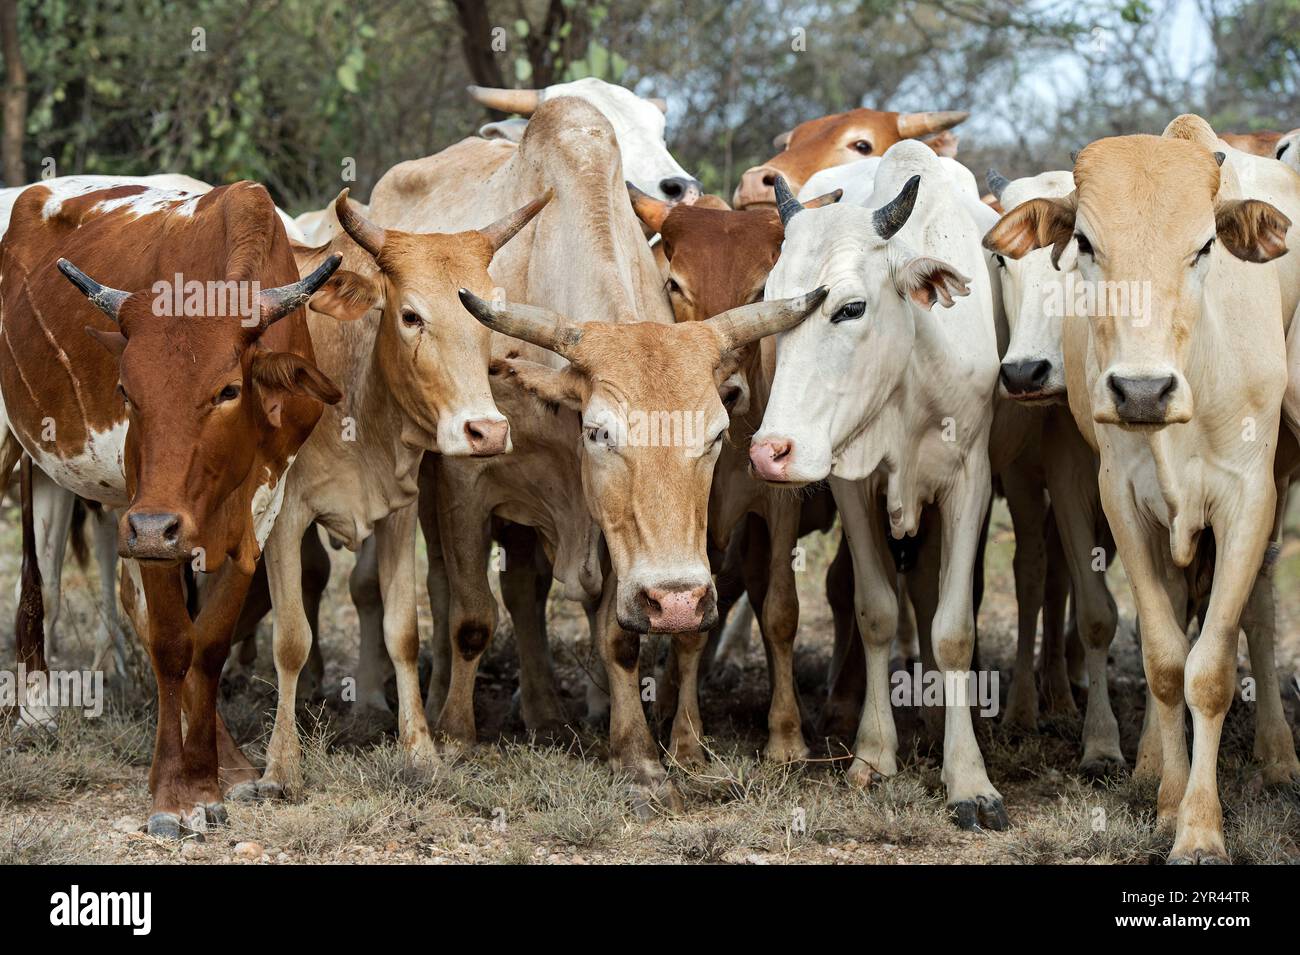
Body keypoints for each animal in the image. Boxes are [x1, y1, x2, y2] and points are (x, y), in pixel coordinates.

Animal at [0, 179, 341, 837]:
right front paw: (171, 795)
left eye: (228, 390)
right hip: (32, 454)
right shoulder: (148, 514)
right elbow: (171, 642)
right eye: (127, 391)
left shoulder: (256, 510)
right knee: (40, 576)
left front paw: (211, 780)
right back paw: (35, 711)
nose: (155, 527)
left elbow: (207, 643)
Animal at [246, 188, 549, 796]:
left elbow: (402, 630)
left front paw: (421, 751)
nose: (487, 431)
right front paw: (282, 766)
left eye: (485, 317)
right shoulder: (284, 516)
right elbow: (290, 638)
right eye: (411, 316)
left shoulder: (399, 513)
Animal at [750, 142, 1007, 829]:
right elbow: (875, 611)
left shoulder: (971, 480)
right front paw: (872, 754)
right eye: (775, 304)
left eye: (849, 307)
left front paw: (969, 778)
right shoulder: (850, 484)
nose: (770, 451)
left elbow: (953, 628)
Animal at [983, 115, 1295, 862]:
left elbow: (1210, 670)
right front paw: (1168, 805)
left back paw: (1277, 754)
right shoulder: (1117, 498)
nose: (1143, 390)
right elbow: (1162, 660)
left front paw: (1202, 828)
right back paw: (1155, 762)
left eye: (1205, 246)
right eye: (1085, 244)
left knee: (1259, 613)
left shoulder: (1250, 501)